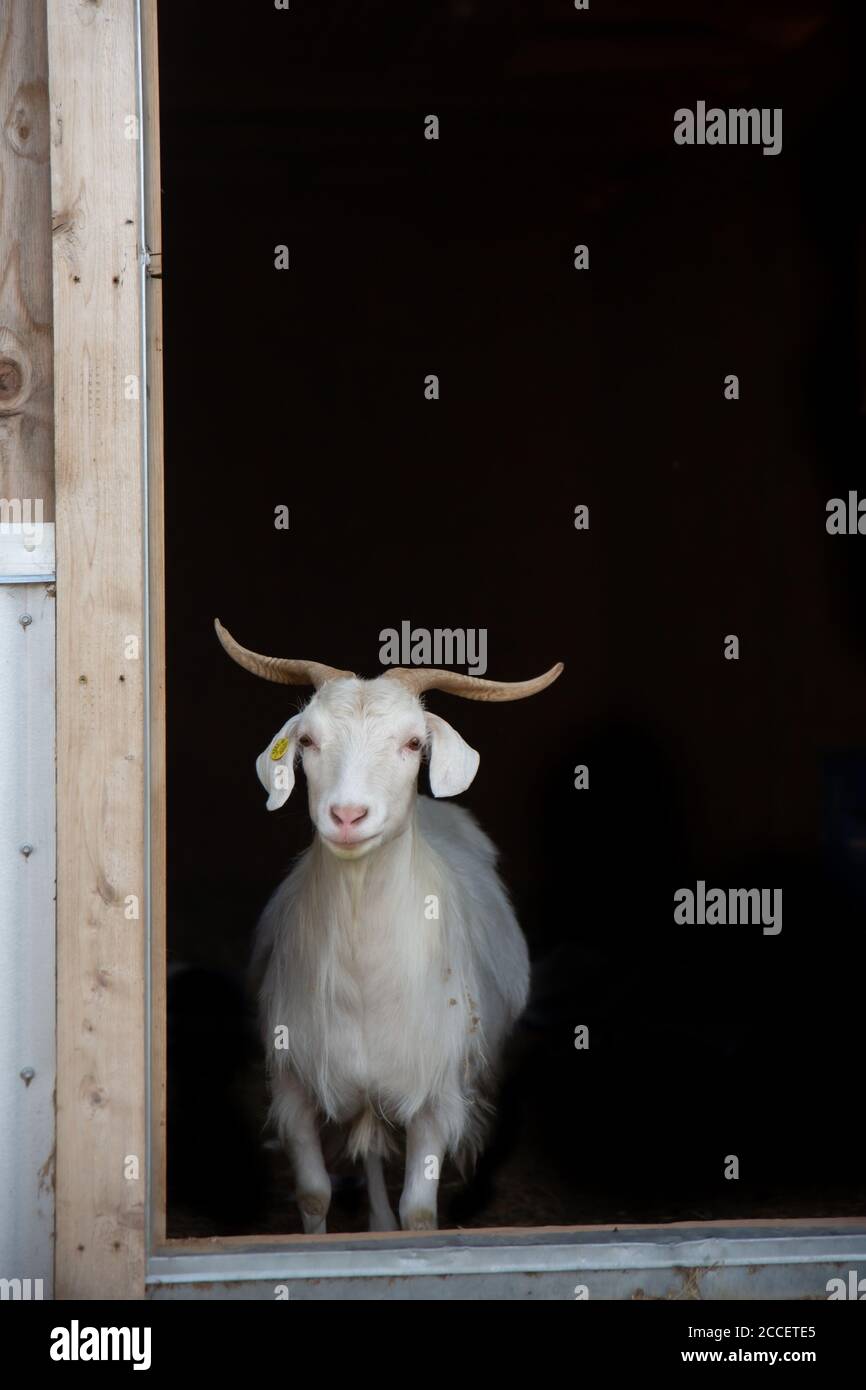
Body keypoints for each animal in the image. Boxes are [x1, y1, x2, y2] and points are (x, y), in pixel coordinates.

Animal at [215, 619, 563, 1233]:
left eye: (413, 743)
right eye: (307, 742)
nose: (348, 816)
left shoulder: (437, 1095)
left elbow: (420, 1211)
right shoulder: (293, 1084)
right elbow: (313, 1193)